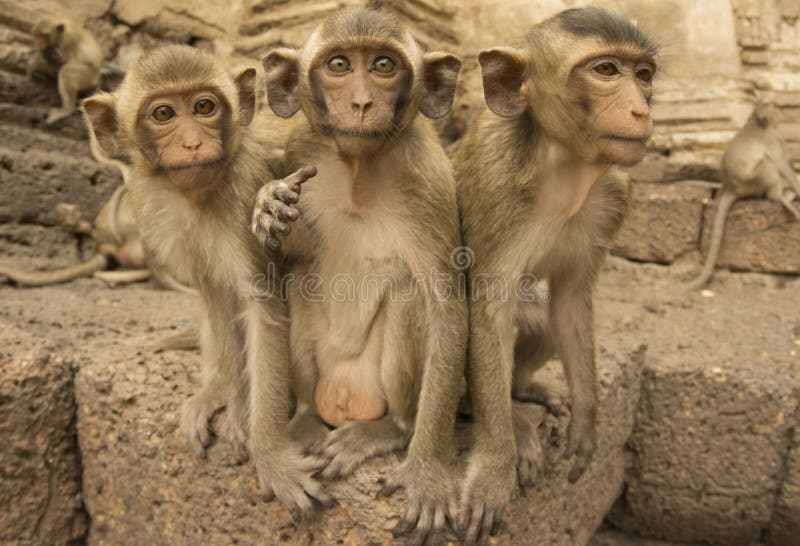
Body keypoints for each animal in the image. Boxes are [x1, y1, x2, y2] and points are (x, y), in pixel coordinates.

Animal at [81, 45, 328, 514]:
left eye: (204, 107)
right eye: (163, 113)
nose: (193, 142)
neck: (199, 194)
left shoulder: (245, 189)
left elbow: (262, 309)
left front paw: (269, 452)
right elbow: (216, 298)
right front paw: (232, 400)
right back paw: (216, 387)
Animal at [252, 5, 467, 542]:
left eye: (384, 66)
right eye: (340, 65)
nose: (362, 101)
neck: (357, 167)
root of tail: (344, 401)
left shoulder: (430, 180)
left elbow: (446, 309)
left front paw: (428, 473)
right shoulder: (299, 151)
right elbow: (279, 269)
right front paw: (268, 206)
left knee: (410, 296)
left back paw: (386, 430)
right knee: (299, 286)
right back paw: (305, 420)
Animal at [452, 8, 658, 543]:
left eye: (643, 75)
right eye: (606, 70)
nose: (641, 110)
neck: (563, 166)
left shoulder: (615, 196)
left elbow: (569, 302)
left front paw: (588, 424)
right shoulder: (495, 177)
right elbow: (488, 312)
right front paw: (494, 469)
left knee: (541, 319)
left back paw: (525, 393)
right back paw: (510, 423)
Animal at [687, 103, 800, 290]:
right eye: (774, 107)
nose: (781, 111)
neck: (757, 123)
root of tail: (734, 188)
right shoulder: (770, 139)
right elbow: (780, 162)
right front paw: (798, 187)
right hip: (753, 181)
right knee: (768, 165)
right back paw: (780, 197)